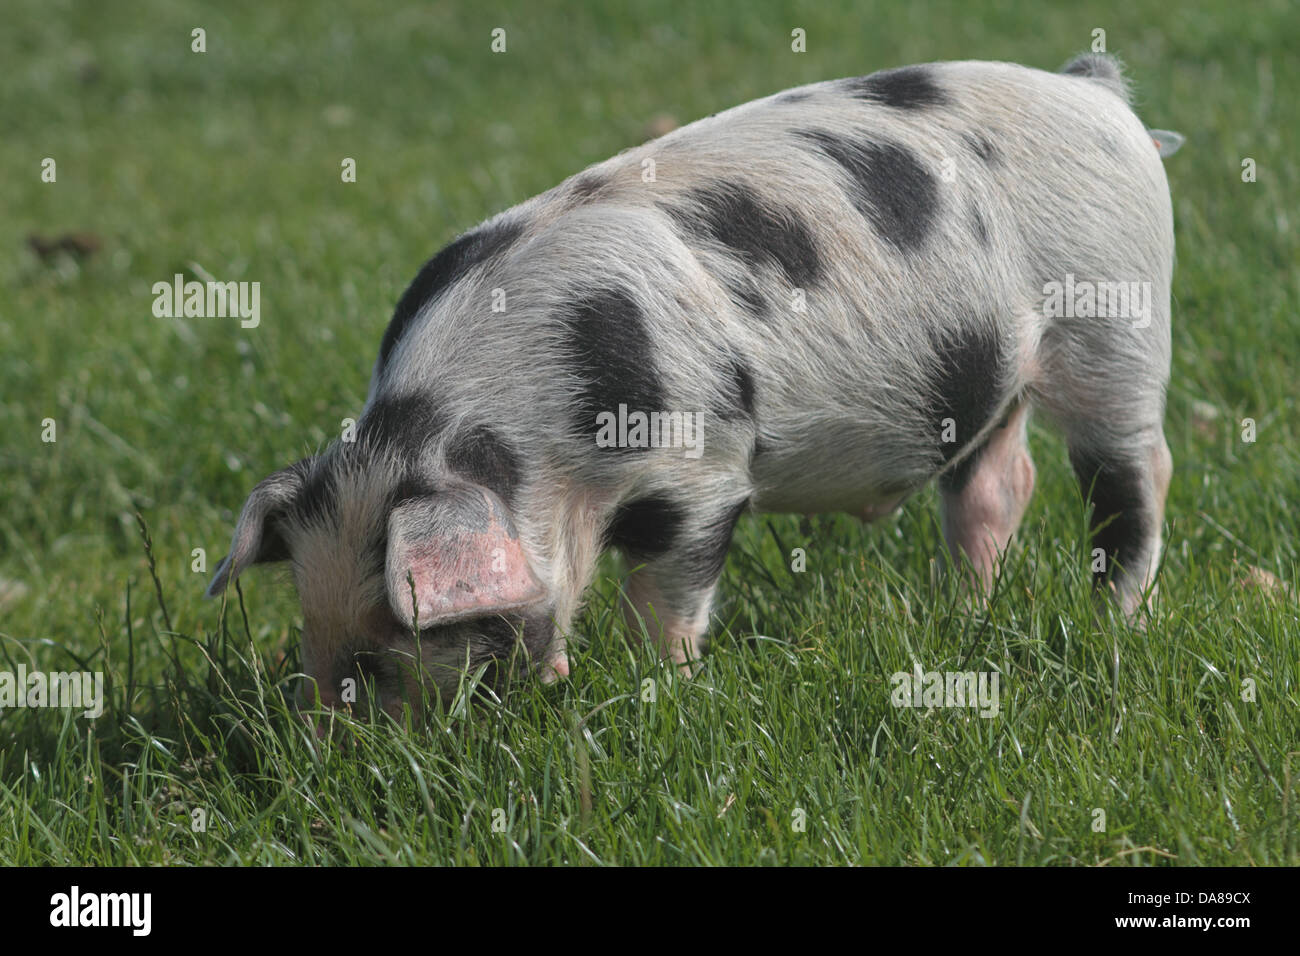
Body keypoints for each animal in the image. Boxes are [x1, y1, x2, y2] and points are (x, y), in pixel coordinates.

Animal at [206, 54, 1181, 715]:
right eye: (311, 634)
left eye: (399, 644)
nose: (334, 751)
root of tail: (1096, 91)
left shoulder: (703, 468)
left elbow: (666, 598)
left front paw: (658, 690)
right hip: (987, 372)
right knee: (999, 484)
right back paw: (962, 615)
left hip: (1116, 319)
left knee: (1135, 475)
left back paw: (1117, 623)